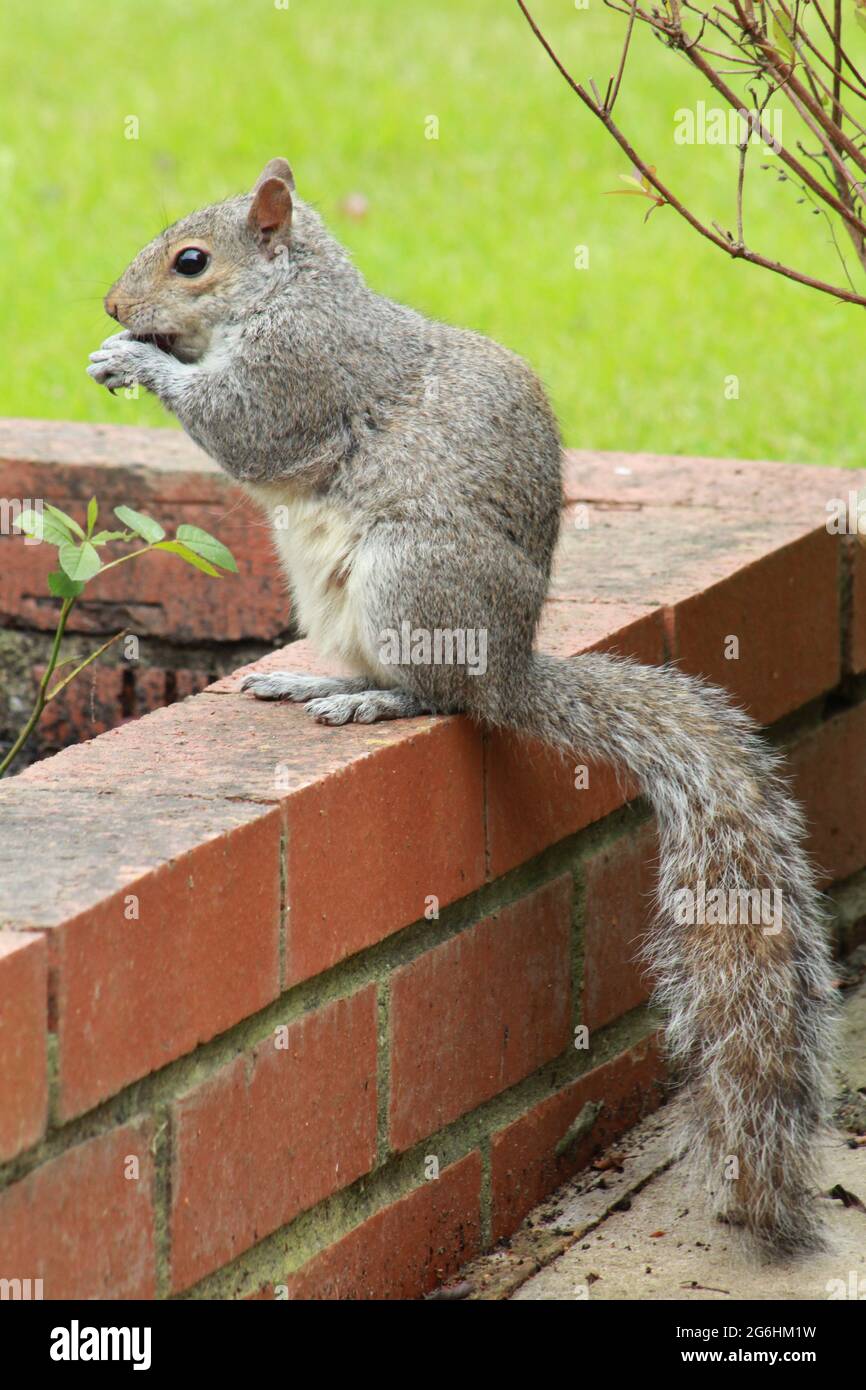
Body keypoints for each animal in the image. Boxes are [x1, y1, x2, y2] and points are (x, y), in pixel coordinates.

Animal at [89, 158, 837, 1257]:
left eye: (191, 262)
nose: (111, 307)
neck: (289, 294)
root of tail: (508, 664)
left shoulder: (302, 371)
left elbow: (250, 429)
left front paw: (139, 364)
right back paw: (318, 680)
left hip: (414, 581)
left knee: (439, 700)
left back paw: (374, 702)